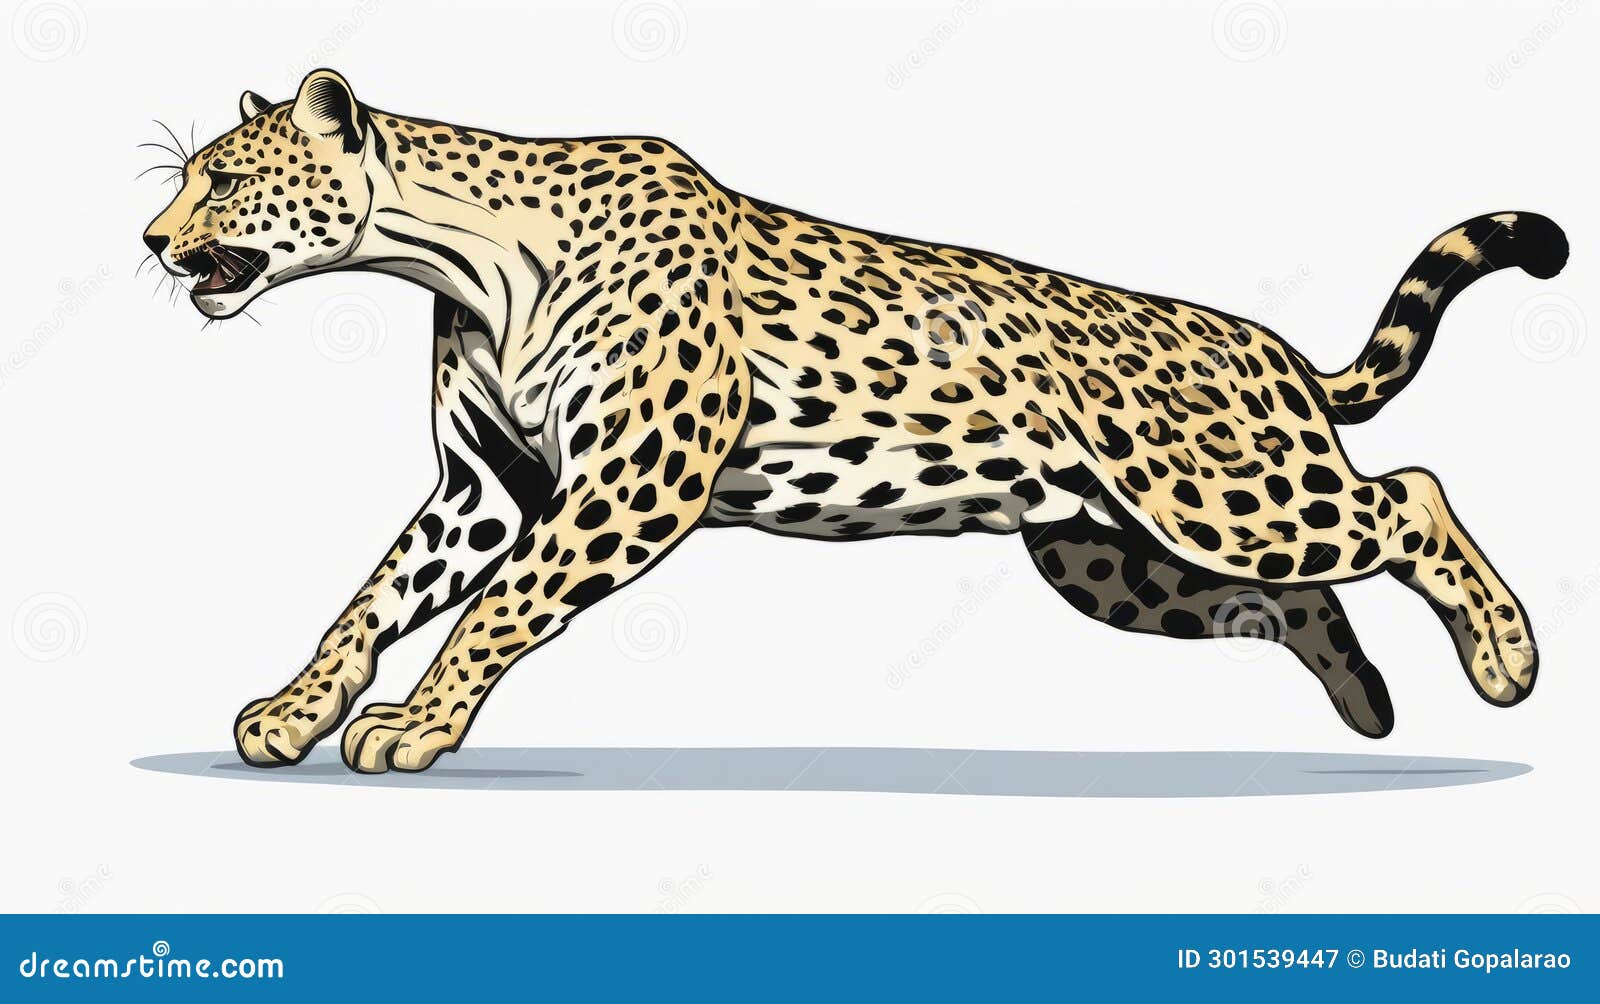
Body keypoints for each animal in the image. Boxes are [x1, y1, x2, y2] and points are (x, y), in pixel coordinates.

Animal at [143, 70, 1566, 773]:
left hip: (1227, 497)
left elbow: (497, 611)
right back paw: (1370, 704)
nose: (152, 239)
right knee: (1297, 594)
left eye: (222, 179)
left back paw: (1505, 662)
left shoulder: (629, 480)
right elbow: (371, 596)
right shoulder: (486, 486)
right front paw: (292, 710)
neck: (460, 258)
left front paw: (412, 727)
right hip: (1112, 558)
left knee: (1409, 495)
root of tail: (1269, 348)